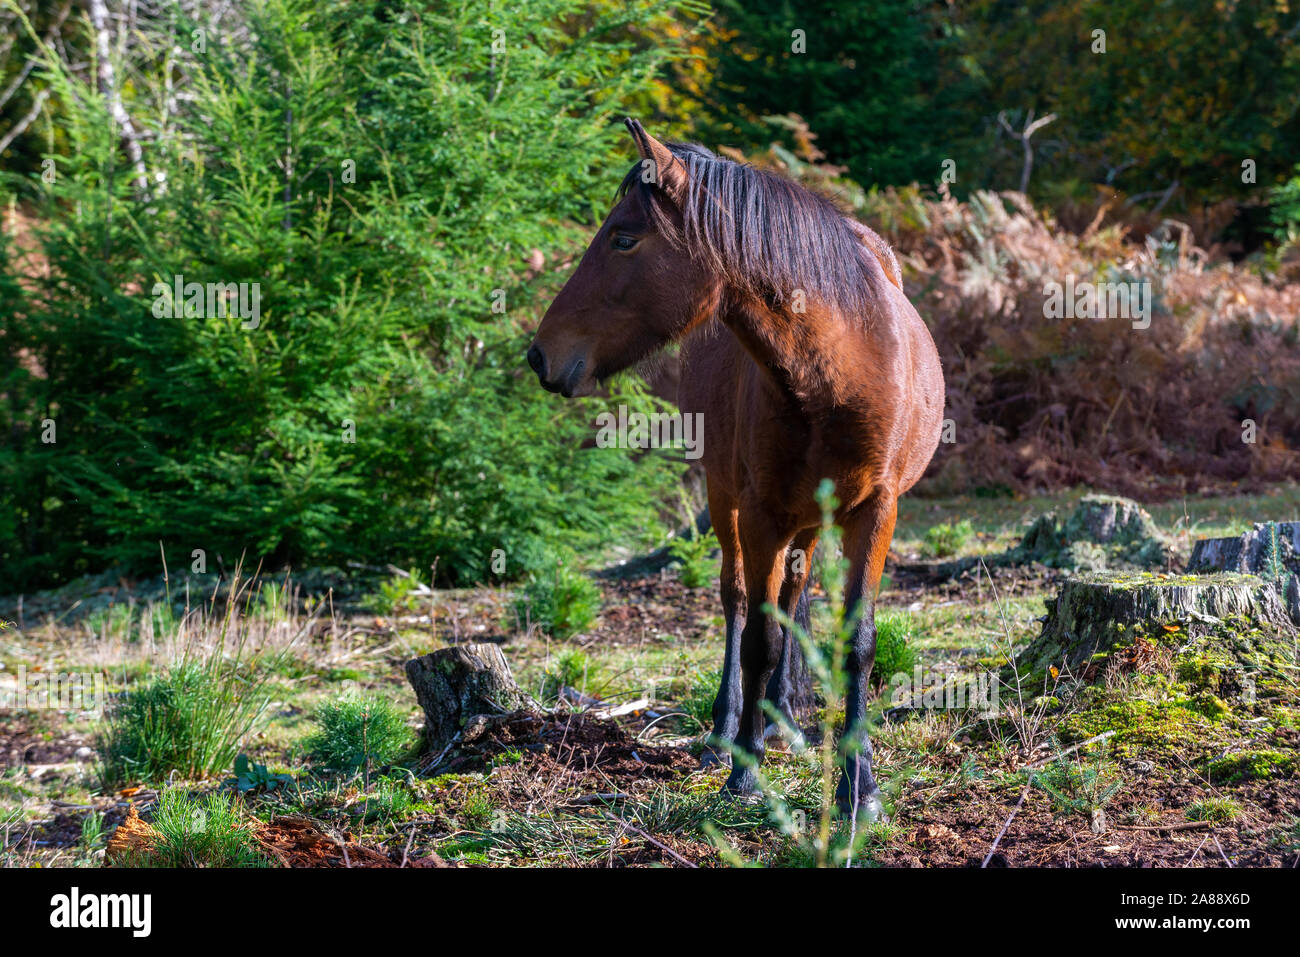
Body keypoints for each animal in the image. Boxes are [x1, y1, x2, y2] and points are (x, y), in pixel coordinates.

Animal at [527, 119, 944, 819]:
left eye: (623, 236)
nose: (539, 355)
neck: (839, 369)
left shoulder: (876, 510)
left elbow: (855, 644)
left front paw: (859, 786)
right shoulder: (760, 511)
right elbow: (759, 638)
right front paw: (744, 773)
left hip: (809, 516)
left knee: (792, 594)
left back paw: (782, 723)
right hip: (726, 497)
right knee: (738, 600)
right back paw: (727, 733)